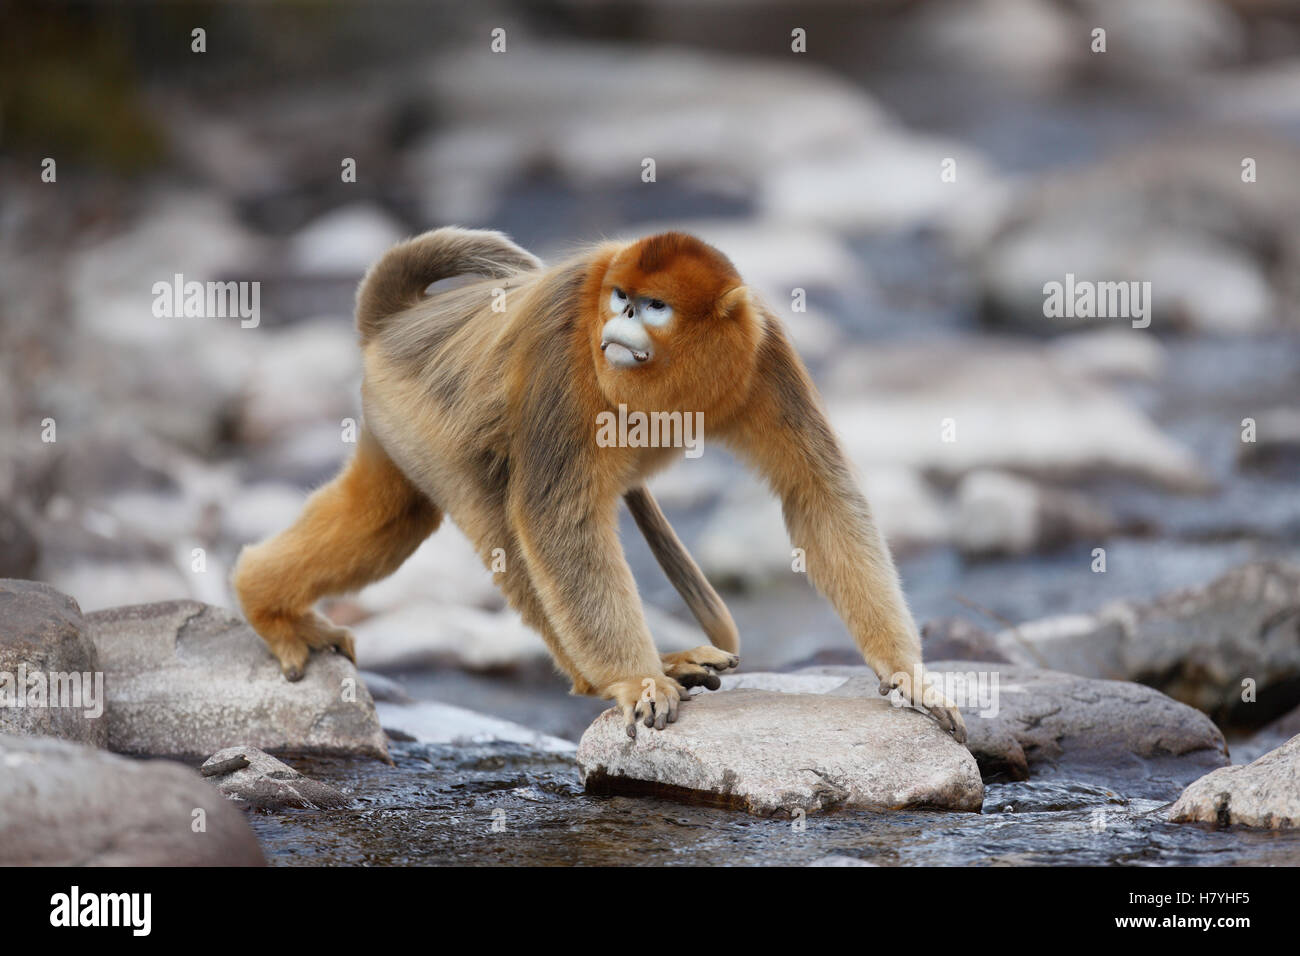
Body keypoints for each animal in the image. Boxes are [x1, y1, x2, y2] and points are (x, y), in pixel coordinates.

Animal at [232, 227, 967, 743]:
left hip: (394, 424)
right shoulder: (564, 348)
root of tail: (396, 325)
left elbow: (817, 494)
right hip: (416, 414)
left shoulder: (763, 351)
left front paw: (906, 675)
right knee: (508, 528)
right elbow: (555, 521)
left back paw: (265, 600)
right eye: (622, 298)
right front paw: (638, 681)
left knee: (389, 519)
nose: (620, 323)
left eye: (655, 306)